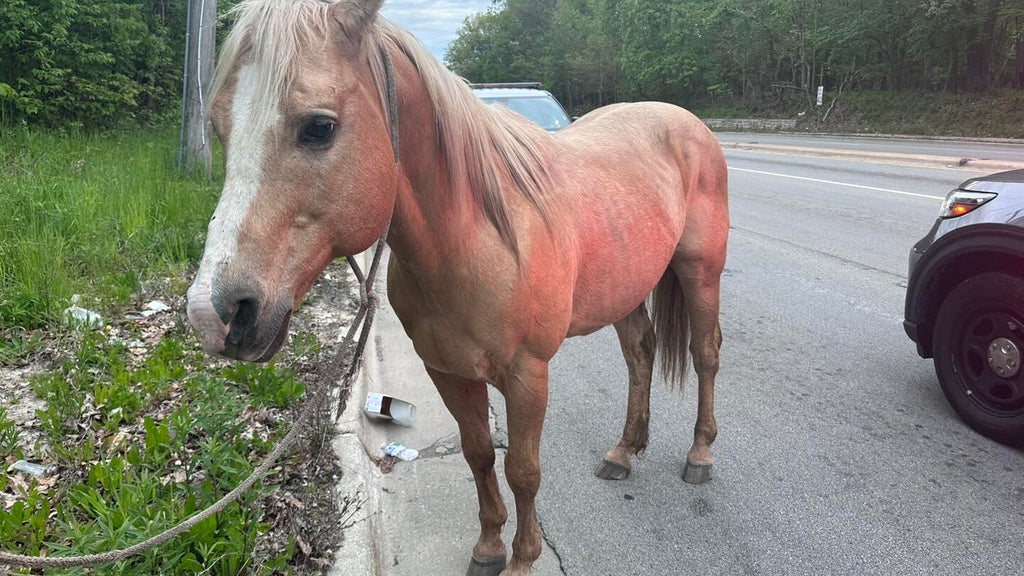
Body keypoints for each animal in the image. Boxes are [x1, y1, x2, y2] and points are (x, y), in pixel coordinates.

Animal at [185, 1, 729, 574]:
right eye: (219, 126)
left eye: (318, 127)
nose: (214, 314)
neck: (479, 239)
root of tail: (686, 122)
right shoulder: (448, 371)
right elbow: (480, 454)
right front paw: (488, 548)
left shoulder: (528, 376)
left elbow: (524, 471)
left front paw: (522, 558)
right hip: (625, 289)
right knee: (641, 356)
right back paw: (623, 452)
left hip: (700, 273)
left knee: (705, 355)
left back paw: (699, 455)